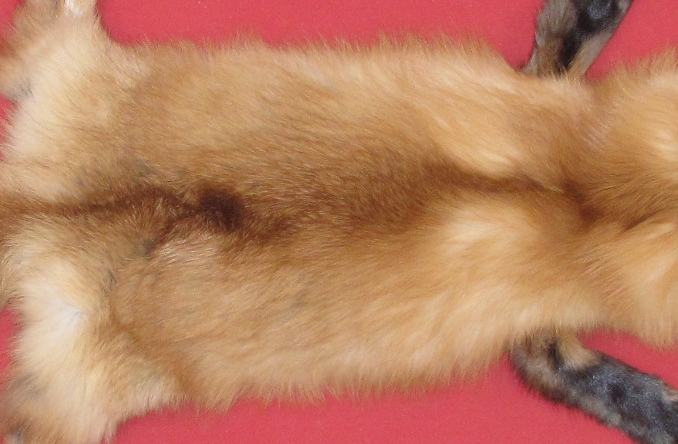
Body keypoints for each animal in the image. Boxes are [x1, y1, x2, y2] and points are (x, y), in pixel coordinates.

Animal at [0, 0, 676, 443]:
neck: (589, 198)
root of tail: (36, 211)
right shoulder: (541, 330)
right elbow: (596, 383)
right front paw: (662, 411)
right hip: (75, 416)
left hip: (70, 55)